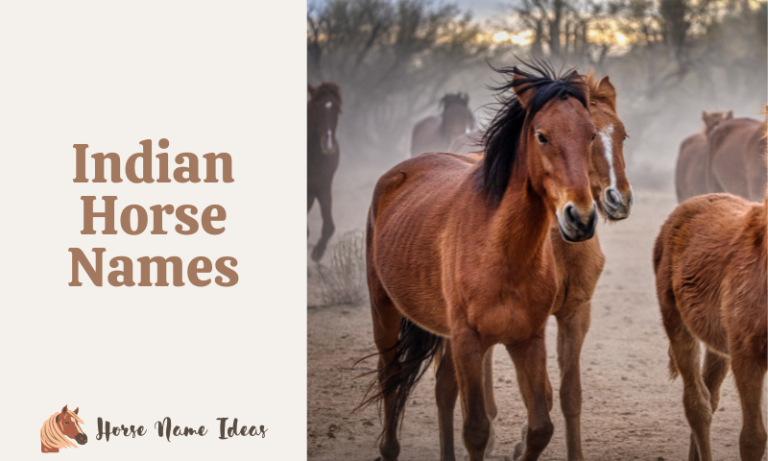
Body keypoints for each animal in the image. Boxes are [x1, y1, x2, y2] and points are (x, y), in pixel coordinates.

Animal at [363, 62, 599, 461]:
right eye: (542, 136)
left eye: (592, 136)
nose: (581, 219)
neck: (502, 251)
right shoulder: (469, 342)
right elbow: (475, 429)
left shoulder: (527, 340)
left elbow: (541, 428)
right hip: (385, 310)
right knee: (391, 375)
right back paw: (389, 448)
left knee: (443, 389)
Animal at [434, 73, 633, 461]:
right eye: (592, 136)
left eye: (622, 134)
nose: (619, 199)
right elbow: (546, 394)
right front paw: (520, 441)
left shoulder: (575, 314)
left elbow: (570, 396)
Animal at [653, 186, 767, 460]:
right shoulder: (747, 354)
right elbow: (752, 439)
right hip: (677, 322)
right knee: (697, 405)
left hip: (720, 343)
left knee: (709, 394)